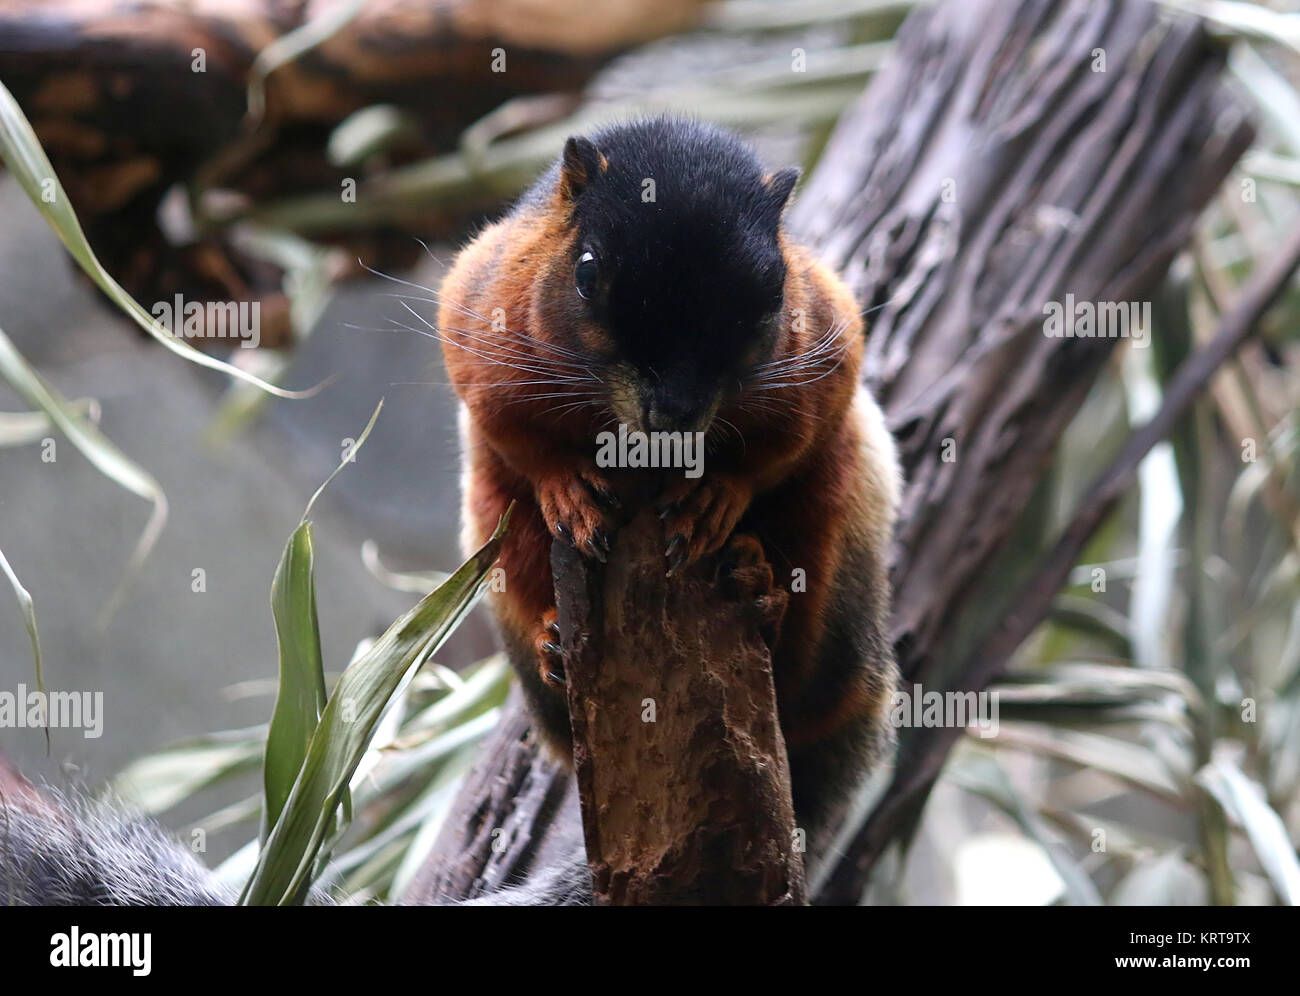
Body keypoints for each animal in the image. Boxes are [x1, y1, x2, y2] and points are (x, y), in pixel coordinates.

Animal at [441, 115, 901, 845]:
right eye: (587, 272)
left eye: (772, 292)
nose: (677, 409)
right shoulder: (479, 314)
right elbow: (511, 431)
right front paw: (567, 488)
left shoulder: (827, 336)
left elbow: (783, 443)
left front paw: (717, 495)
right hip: (498, 538)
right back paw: (551, 645)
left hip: (839, 545)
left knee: (804, 667)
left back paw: (759, 588)